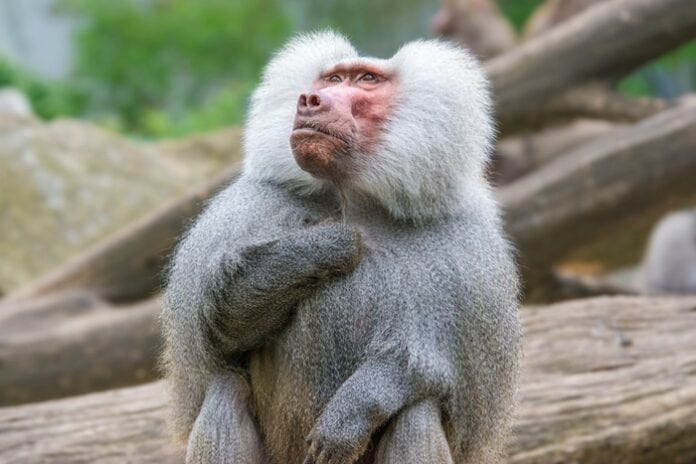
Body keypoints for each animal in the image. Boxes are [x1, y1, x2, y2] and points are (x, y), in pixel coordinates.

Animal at [162, 31, 521, 464]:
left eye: (366, 79)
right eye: (332, 79)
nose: (309, 100)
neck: (354, 200)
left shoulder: (468, 255)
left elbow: (427, 370)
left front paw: (347, 418)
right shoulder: (244, 213)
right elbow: (223, 329)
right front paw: (333, 242)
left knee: (417, 412)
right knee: (225, 386)